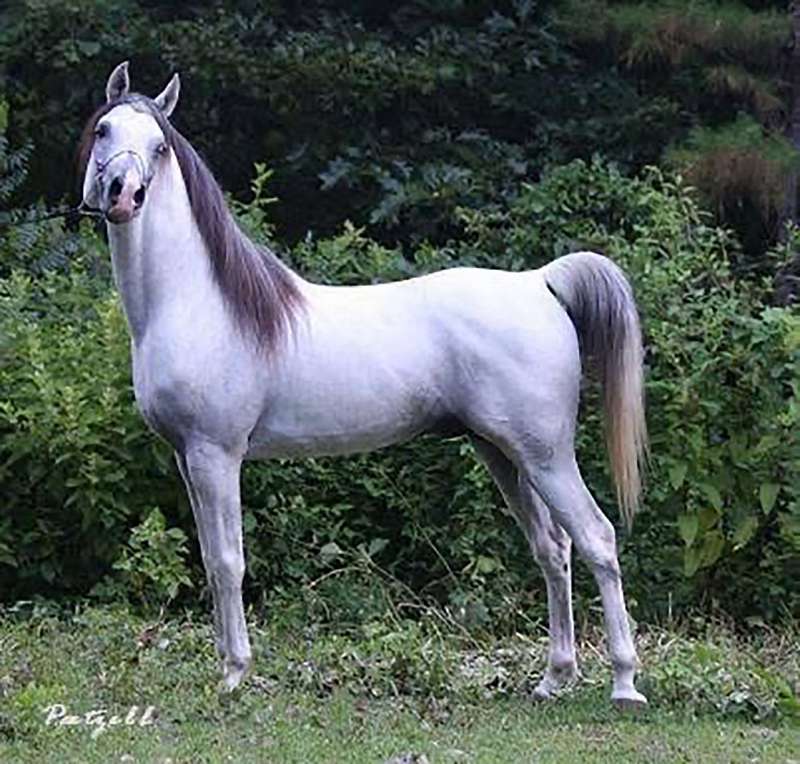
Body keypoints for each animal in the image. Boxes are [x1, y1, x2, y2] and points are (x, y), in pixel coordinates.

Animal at [78, 62, 648, 708]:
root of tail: (539, 282)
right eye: (103, 129)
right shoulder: (187, 457)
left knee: (598, 539)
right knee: (553, 549)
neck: (196, 303)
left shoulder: (215, 454)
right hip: (504, 454)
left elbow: (227, 561)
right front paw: (226, 665)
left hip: (546, 455)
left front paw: (235, 673)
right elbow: (208, 555)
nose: (124, 193)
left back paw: (624, 682)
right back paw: (553, 678)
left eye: (159, 146)